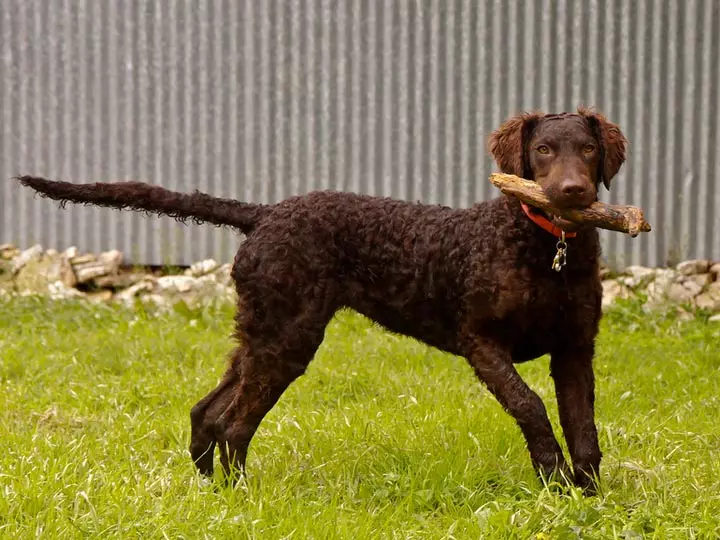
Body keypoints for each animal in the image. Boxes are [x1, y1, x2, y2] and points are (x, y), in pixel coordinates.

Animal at [16, 106, 624, 494]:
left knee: (207, 412)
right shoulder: (481, 341)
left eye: (589, 149)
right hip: (287, 335)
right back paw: (243, 499)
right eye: (542, 150)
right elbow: (531, 405)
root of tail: (265, 213)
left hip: (264, 332)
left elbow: (584, 429)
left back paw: (212, 492)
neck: (545, 247)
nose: (573, 192)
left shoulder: (576, 349)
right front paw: (552, 479)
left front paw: (587, 498)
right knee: (233, 423)